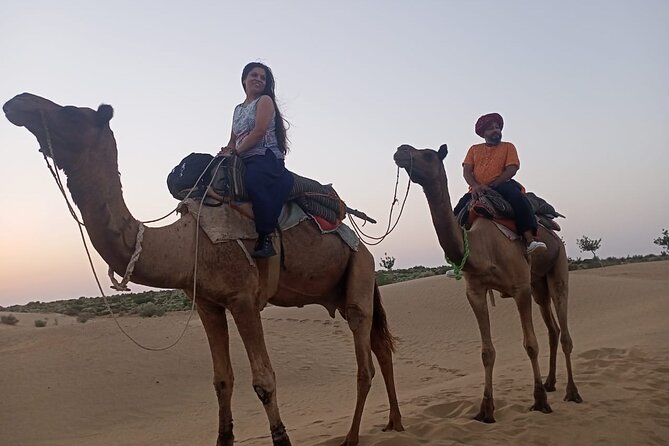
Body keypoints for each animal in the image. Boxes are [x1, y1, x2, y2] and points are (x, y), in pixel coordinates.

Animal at [3, 92, 404, 446]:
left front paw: (282, 437)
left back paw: (352, 437)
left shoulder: (244, 300)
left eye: (71, 112)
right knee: (381, 348)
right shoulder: (208, 304)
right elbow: (221, 380)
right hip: (349, 285)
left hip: (359, 274)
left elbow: (264, 380)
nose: (17, 102)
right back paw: (395, 423)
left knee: (364, 363)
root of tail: (363, 244)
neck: (189, 245)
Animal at [393, 144, 582, 423]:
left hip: (558, 265)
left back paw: (572, 392)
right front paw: (485, 410)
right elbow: (486, 352)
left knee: (564, 328)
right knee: (553, 330)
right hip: (538, 284)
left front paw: (539, 401)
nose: (401, 150)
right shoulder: (476, 292)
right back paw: (550, 382)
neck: (482, 249)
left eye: (427, 153)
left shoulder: (519, 288)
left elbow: (530, 345)